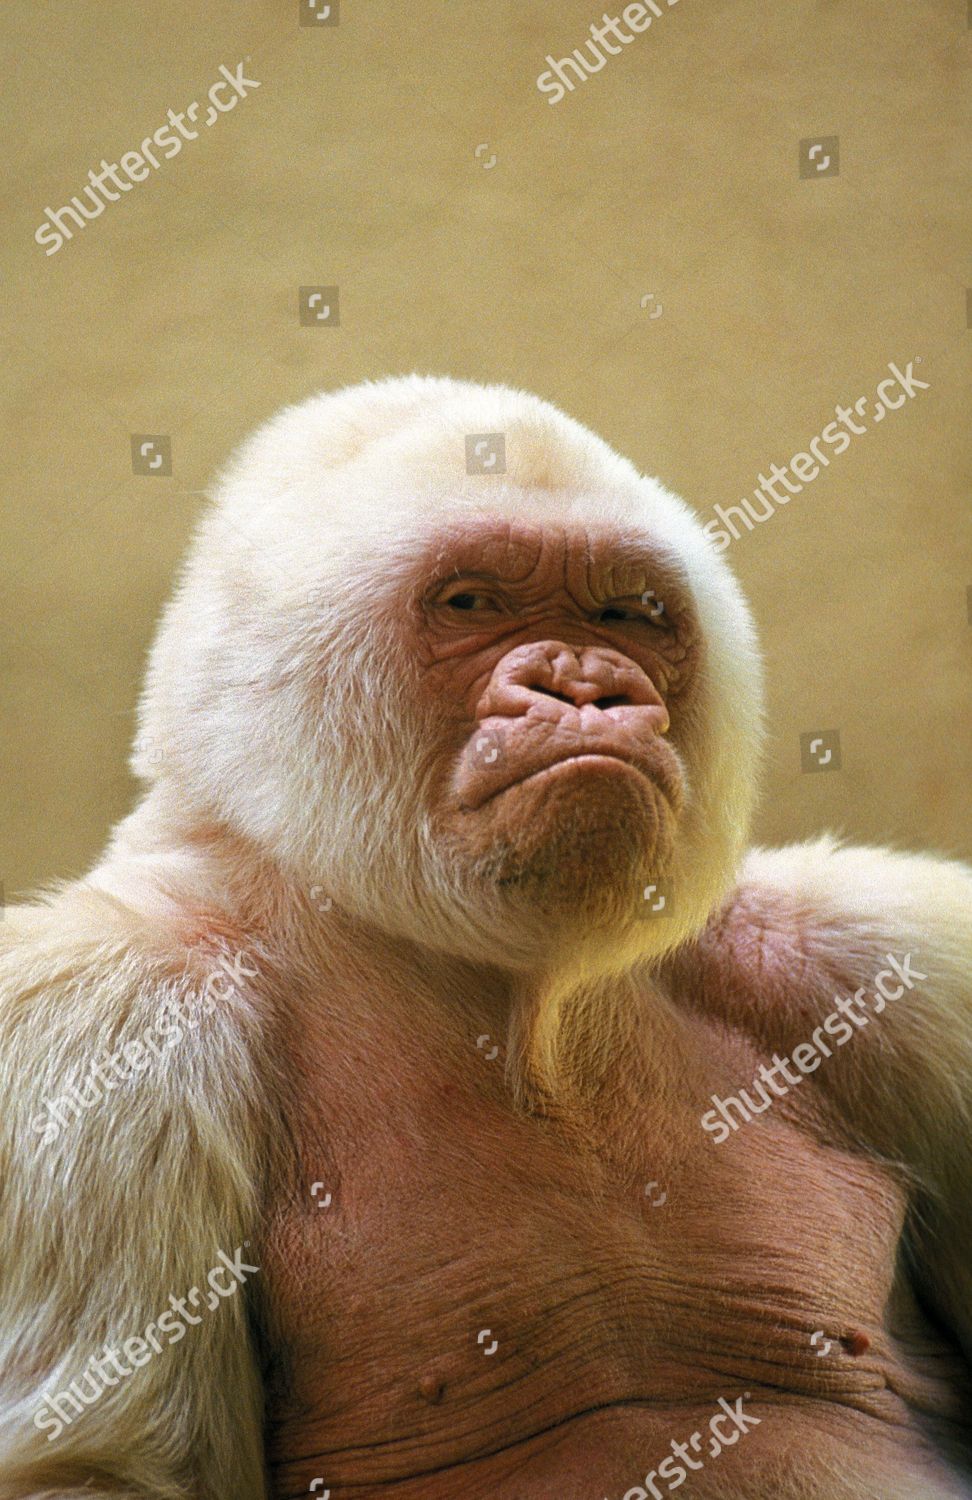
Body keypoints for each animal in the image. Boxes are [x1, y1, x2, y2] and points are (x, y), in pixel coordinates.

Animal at [0, 375, 970, 1499]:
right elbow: (102, 1469)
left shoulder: (886, 953)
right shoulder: (98, 1015)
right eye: (472, 604)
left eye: (627, 615)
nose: (589, 687)